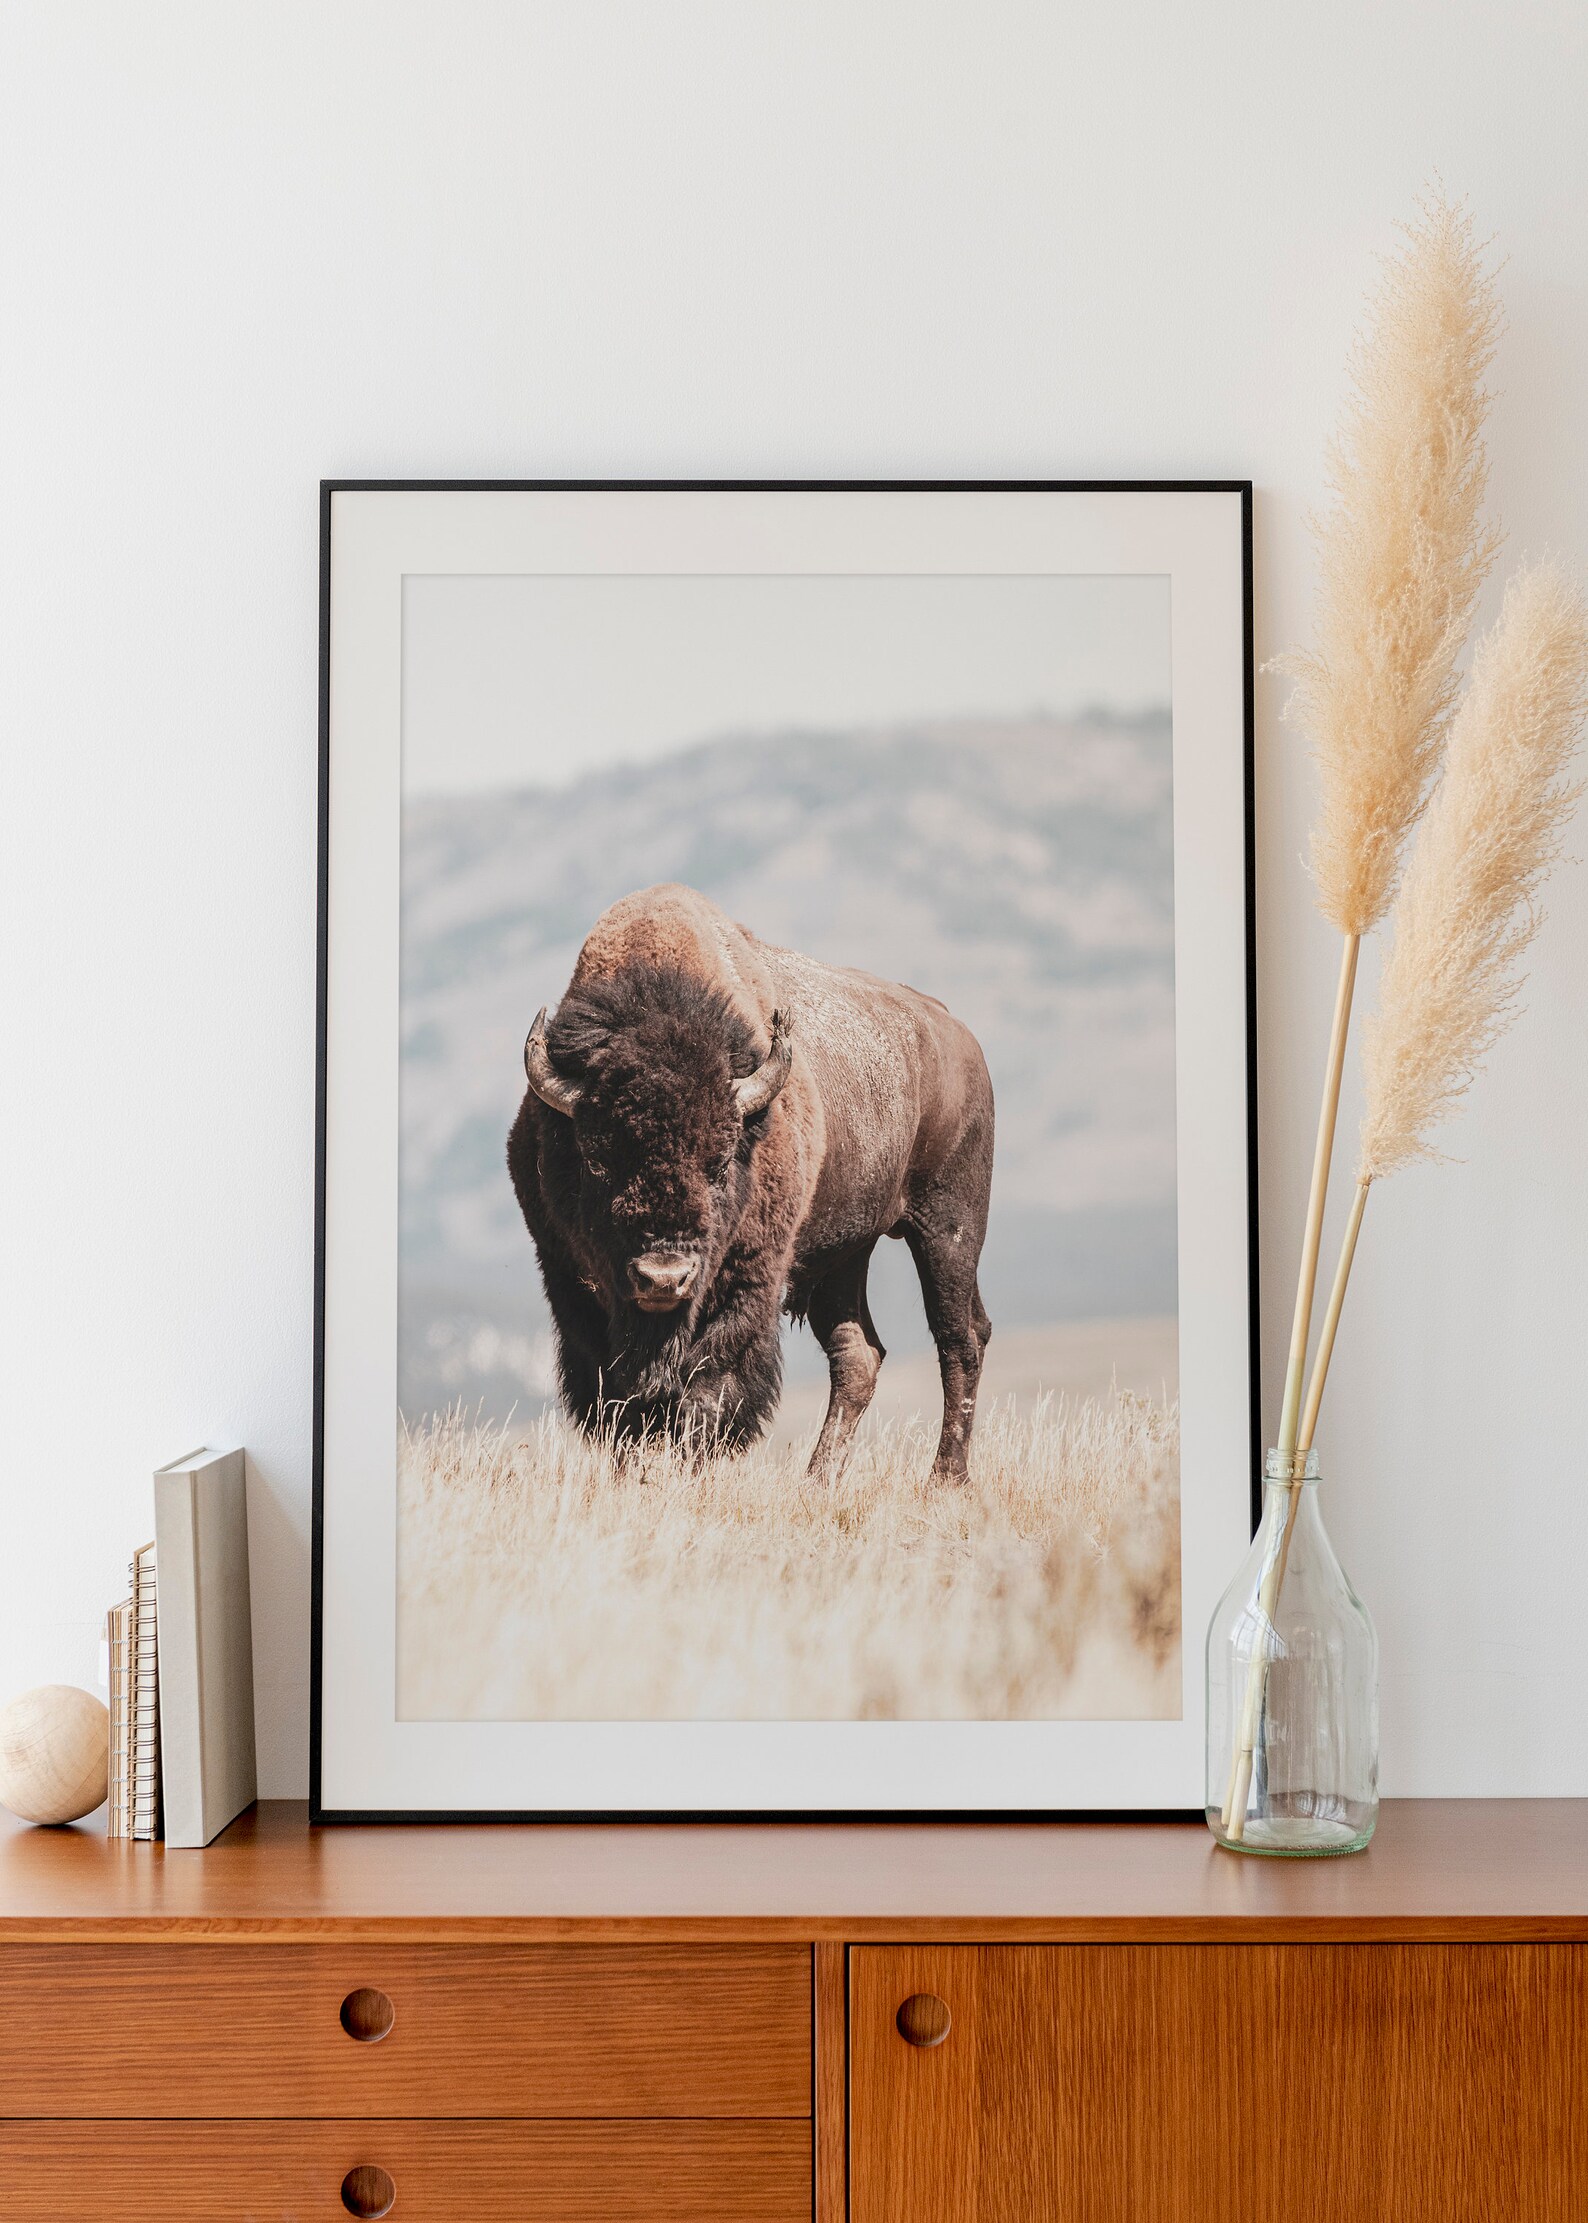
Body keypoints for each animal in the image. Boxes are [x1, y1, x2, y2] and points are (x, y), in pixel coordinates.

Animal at [507, 884, 994, 1483]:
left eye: (719, 1163)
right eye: (598, 1162)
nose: (664, 1278)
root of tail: (956, 1033)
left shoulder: (749, 1277)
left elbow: (710, 1385)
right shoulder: (569, 1278)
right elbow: (616, 1398)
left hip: (948, 1229)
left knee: (959, 1338)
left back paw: (945, 1477)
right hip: (844, 1253)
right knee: (858, 1354)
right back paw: (818, 1478)